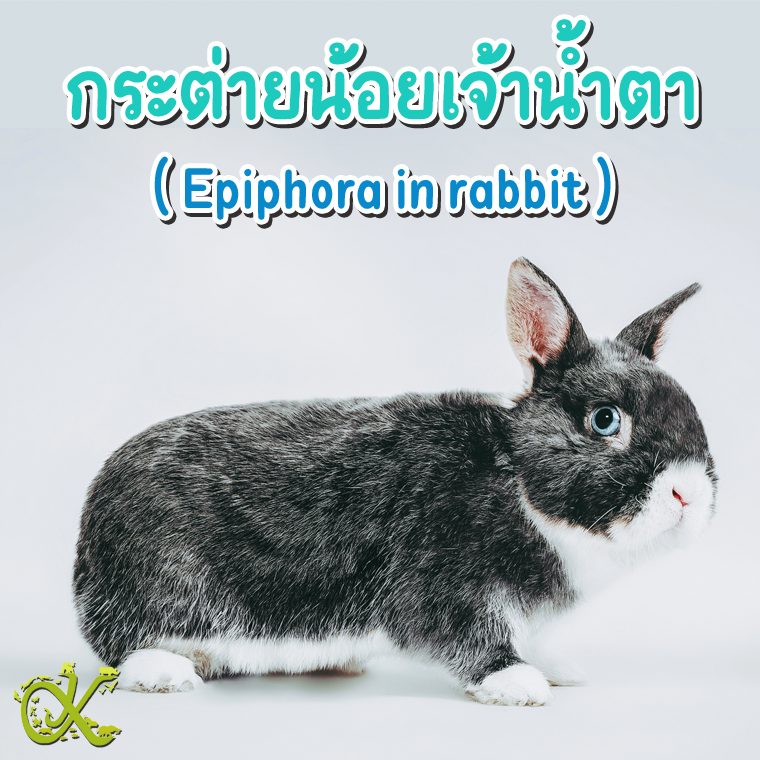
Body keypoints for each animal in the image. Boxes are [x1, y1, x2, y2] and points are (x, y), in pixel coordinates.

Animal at [72, 258, 716, 705]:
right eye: (605, 420)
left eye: (692, 414)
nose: (691, 495)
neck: (517, 482)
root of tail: (87, 544)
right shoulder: (446, 587)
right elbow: (471, 637)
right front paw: (515, 682)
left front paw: (556, 668)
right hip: (157, 592)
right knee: (120, 647)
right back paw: (166, 673)